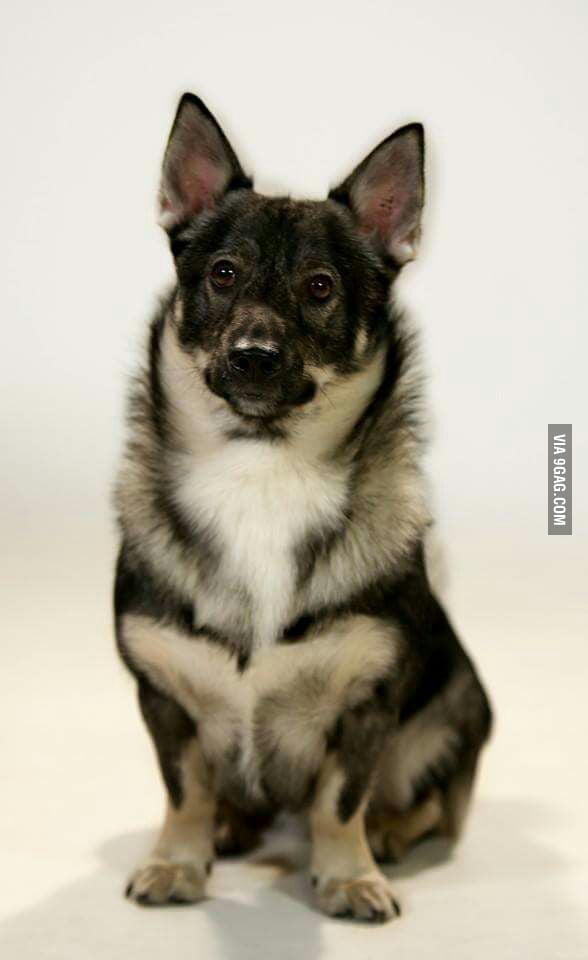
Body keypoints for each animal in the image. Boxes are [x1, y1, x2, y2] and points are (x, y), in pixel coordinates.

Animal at [114, 93, 492, 922]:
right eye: (222, 275)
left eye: (320, 288)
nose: (254, 354)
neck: (263, 472)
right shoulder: (162, 698)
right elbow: (183, 791)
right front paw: (177, 859)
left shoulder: (369, 706)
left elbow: (337, 802)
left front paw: (347, 872)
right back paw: (231, 821)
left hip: (456, 709)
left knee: (428, 803)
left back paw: (387, 831)